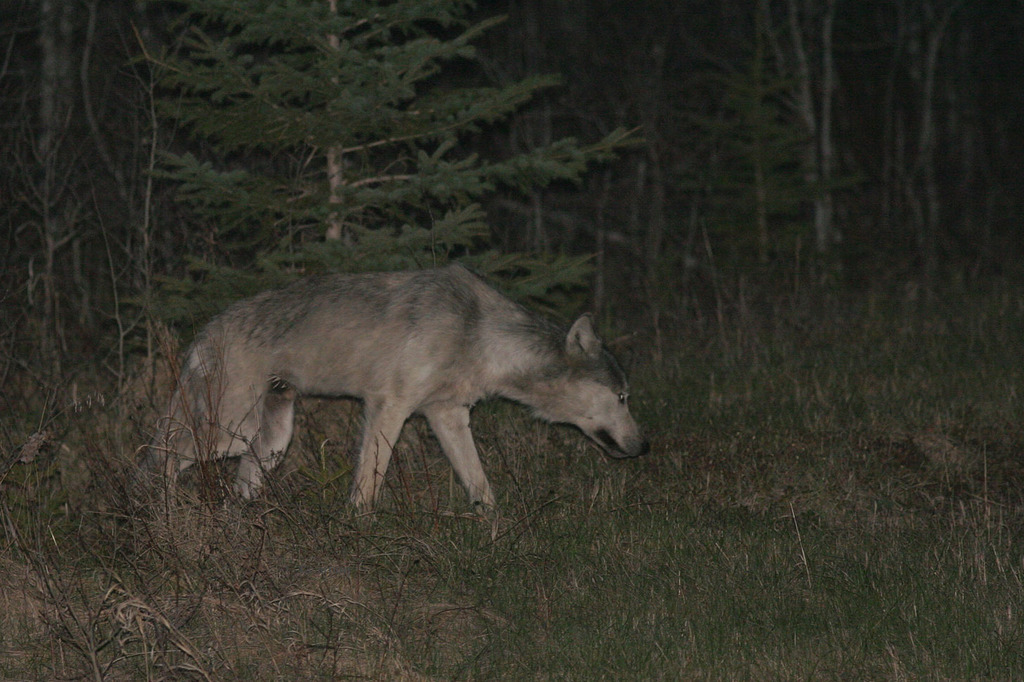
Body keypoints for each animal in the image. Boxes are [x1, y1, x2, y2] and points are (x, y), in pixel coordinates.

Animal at [141, 263, 648, 510]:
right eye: (622, 397)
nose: (645, 447)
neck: (480, 336)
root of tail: (205, 332)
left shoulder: (448, 415)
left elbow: (482, 490)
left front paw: (496, 538)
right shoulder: (390, 408)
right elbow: (367, 490)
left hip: (269, 443)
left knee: (230, 486)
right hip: (227, 432)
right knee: (157, 457)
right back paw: (161, 520)